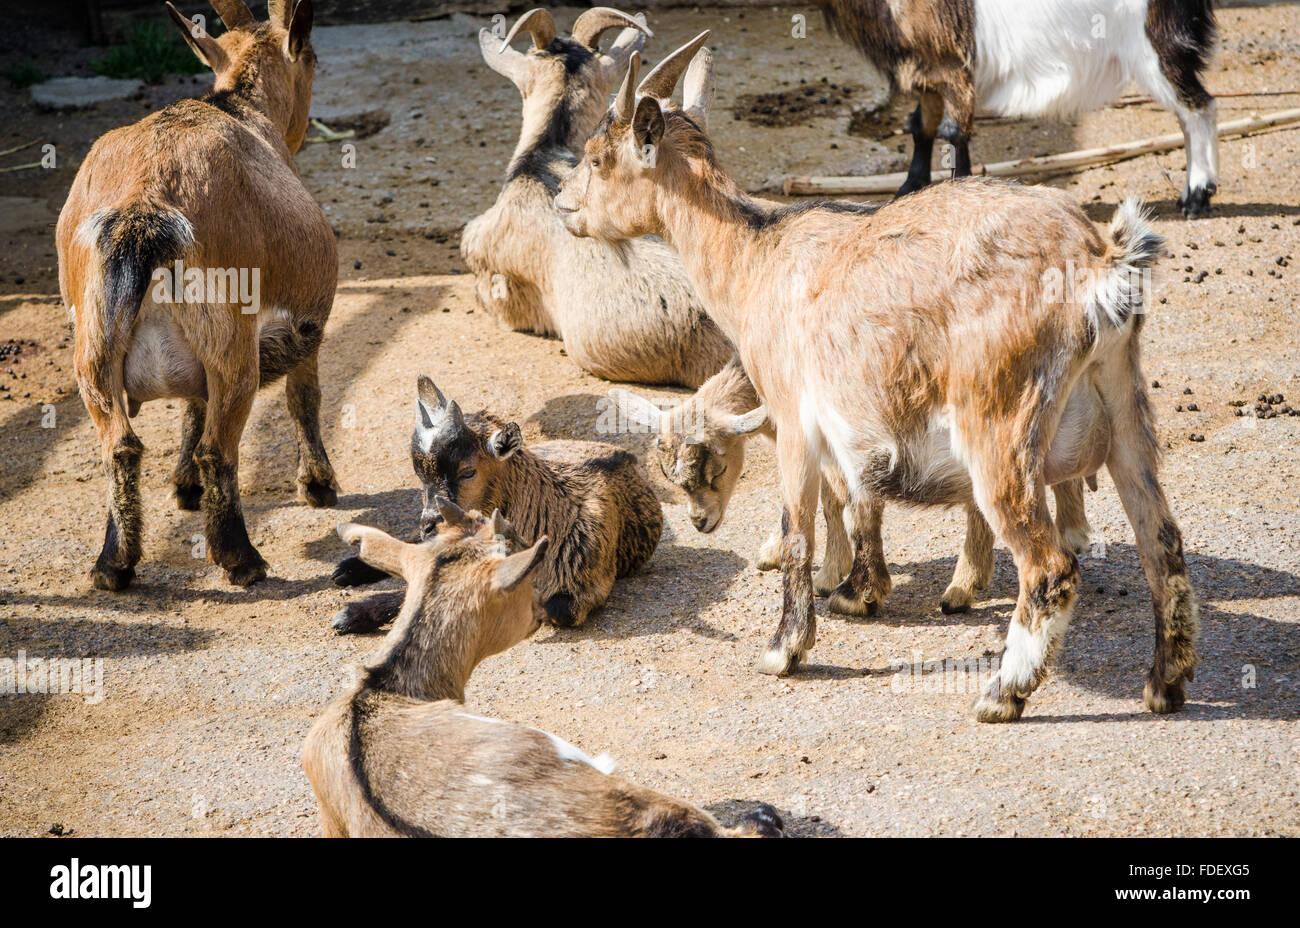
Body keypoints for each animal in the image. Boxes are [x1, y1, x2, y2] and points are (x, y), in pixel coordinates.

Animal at [55, 0, 337, 590]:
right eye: (312, 59)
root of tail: (143, 208)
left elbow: (190, 403)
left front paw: (183, 488)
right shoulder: (307, 322)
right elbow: (303, 396)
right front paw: (319, 485)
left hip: (92, 340)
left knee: (120, 444)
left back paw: (113, 564)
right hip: (231, 339)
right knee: (218, 446)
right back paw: (242, 559)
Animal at [332, 375, 662, 632]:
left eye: (468, 471)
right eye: (418, 474)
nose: (429, 524)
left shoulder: (582, 592)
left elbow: (553, 607)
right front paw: (353, 614)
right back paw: (349, 568)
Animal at [612, 367, 1095, 616]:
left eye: (719, 470)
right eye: (671, 478)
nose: (700, 522)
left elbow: (831, 500)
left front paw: (830, 574)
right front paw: (775, 549)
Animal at [819, 0, 1219, 216]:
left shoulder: (954, 68)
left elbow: (954, 132)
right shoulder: (929, 72)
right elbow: (922, 127)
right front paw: (909, 190)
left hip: (1158, 46)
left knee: (1197, 107)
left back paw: (1196, 196)